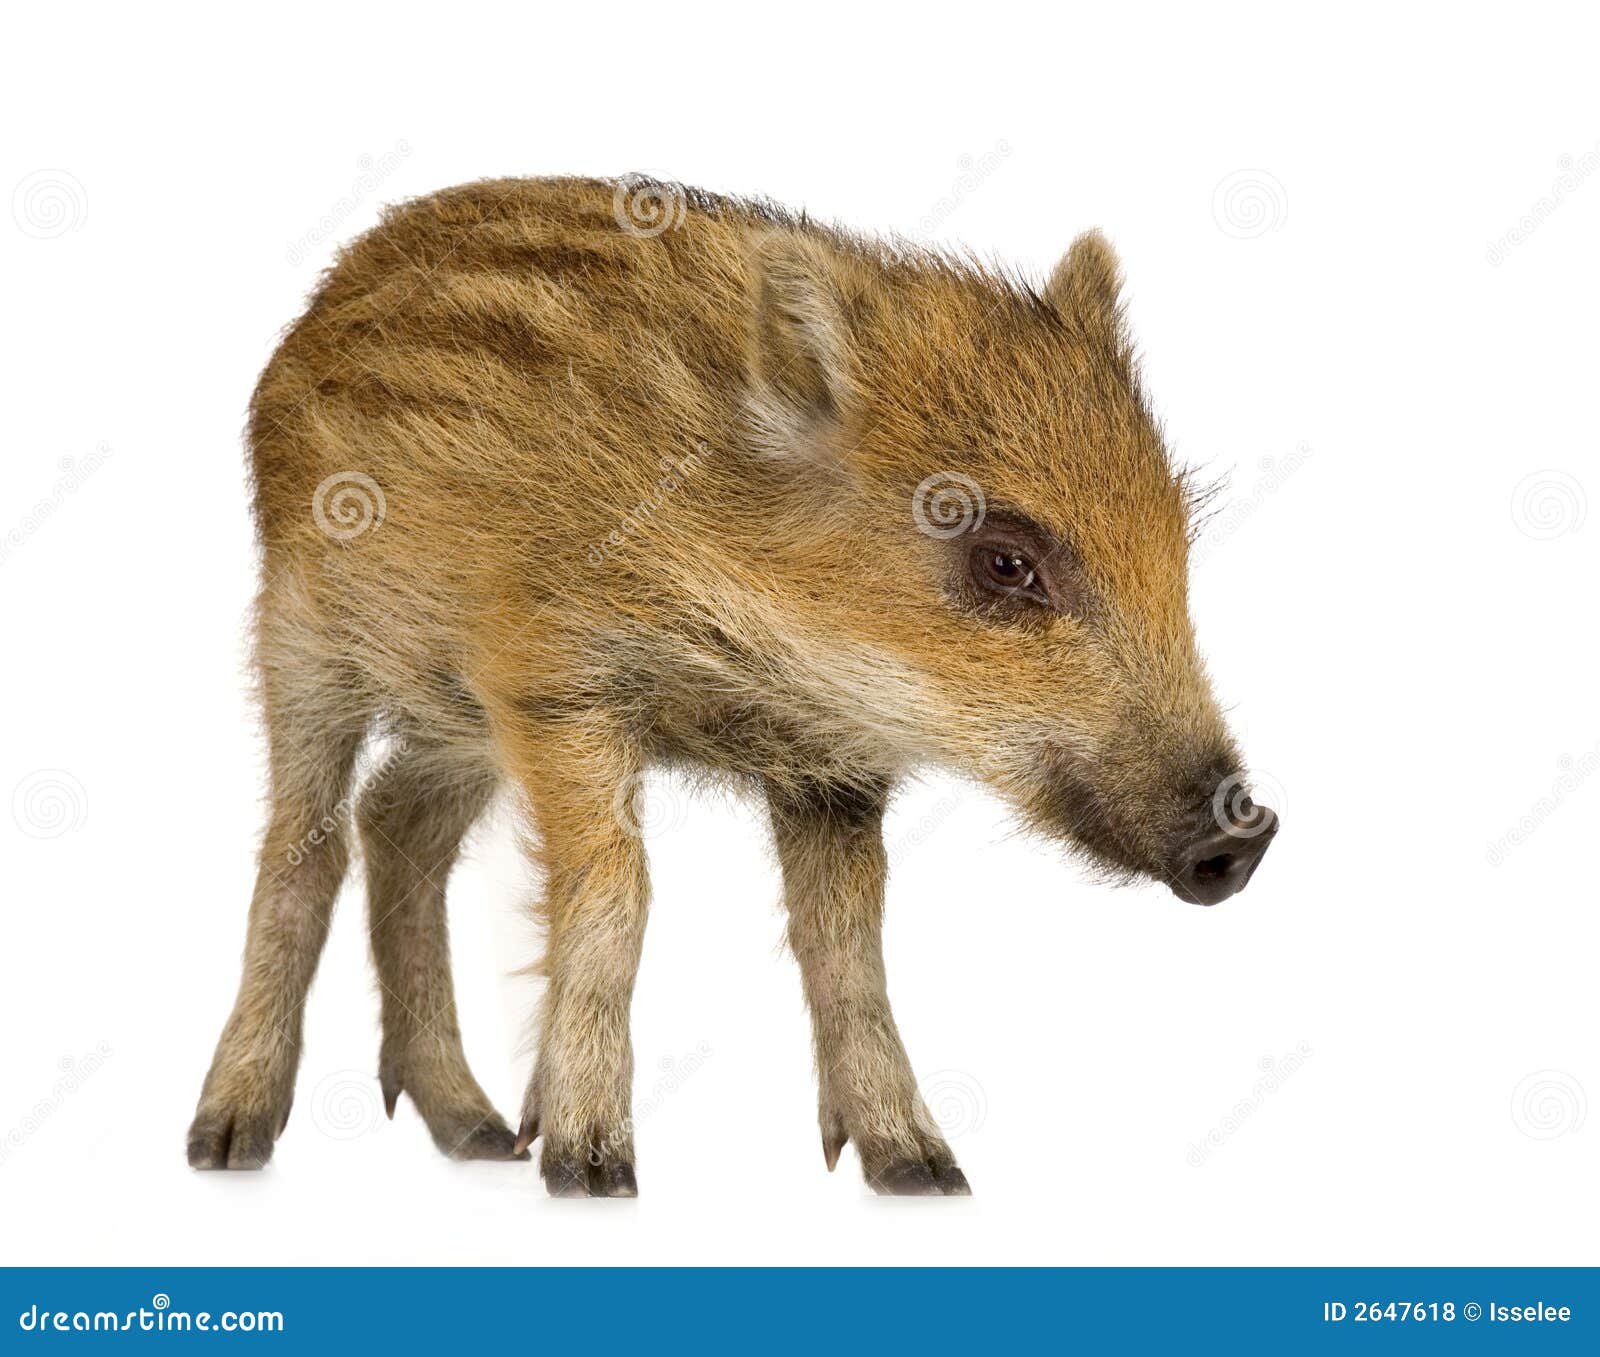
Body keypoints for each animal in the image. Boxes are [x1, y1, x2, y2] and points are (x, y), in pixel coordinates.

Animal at [186, 175, 1279, 1196]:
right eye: (1006, 563)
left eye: (1177, 546)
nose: (1246, 830)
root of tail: (328, 295)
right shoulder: (556, 685)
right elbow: (616, 898)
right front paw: (590, 1169)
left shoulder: (828, 769)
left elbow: (848, 945)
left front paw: (922, 1171)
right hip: (301, 636)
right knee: (305, 848)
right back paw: (231, 1139)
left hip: (452, 712)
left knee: (396, 815)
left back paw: (480, 1133)